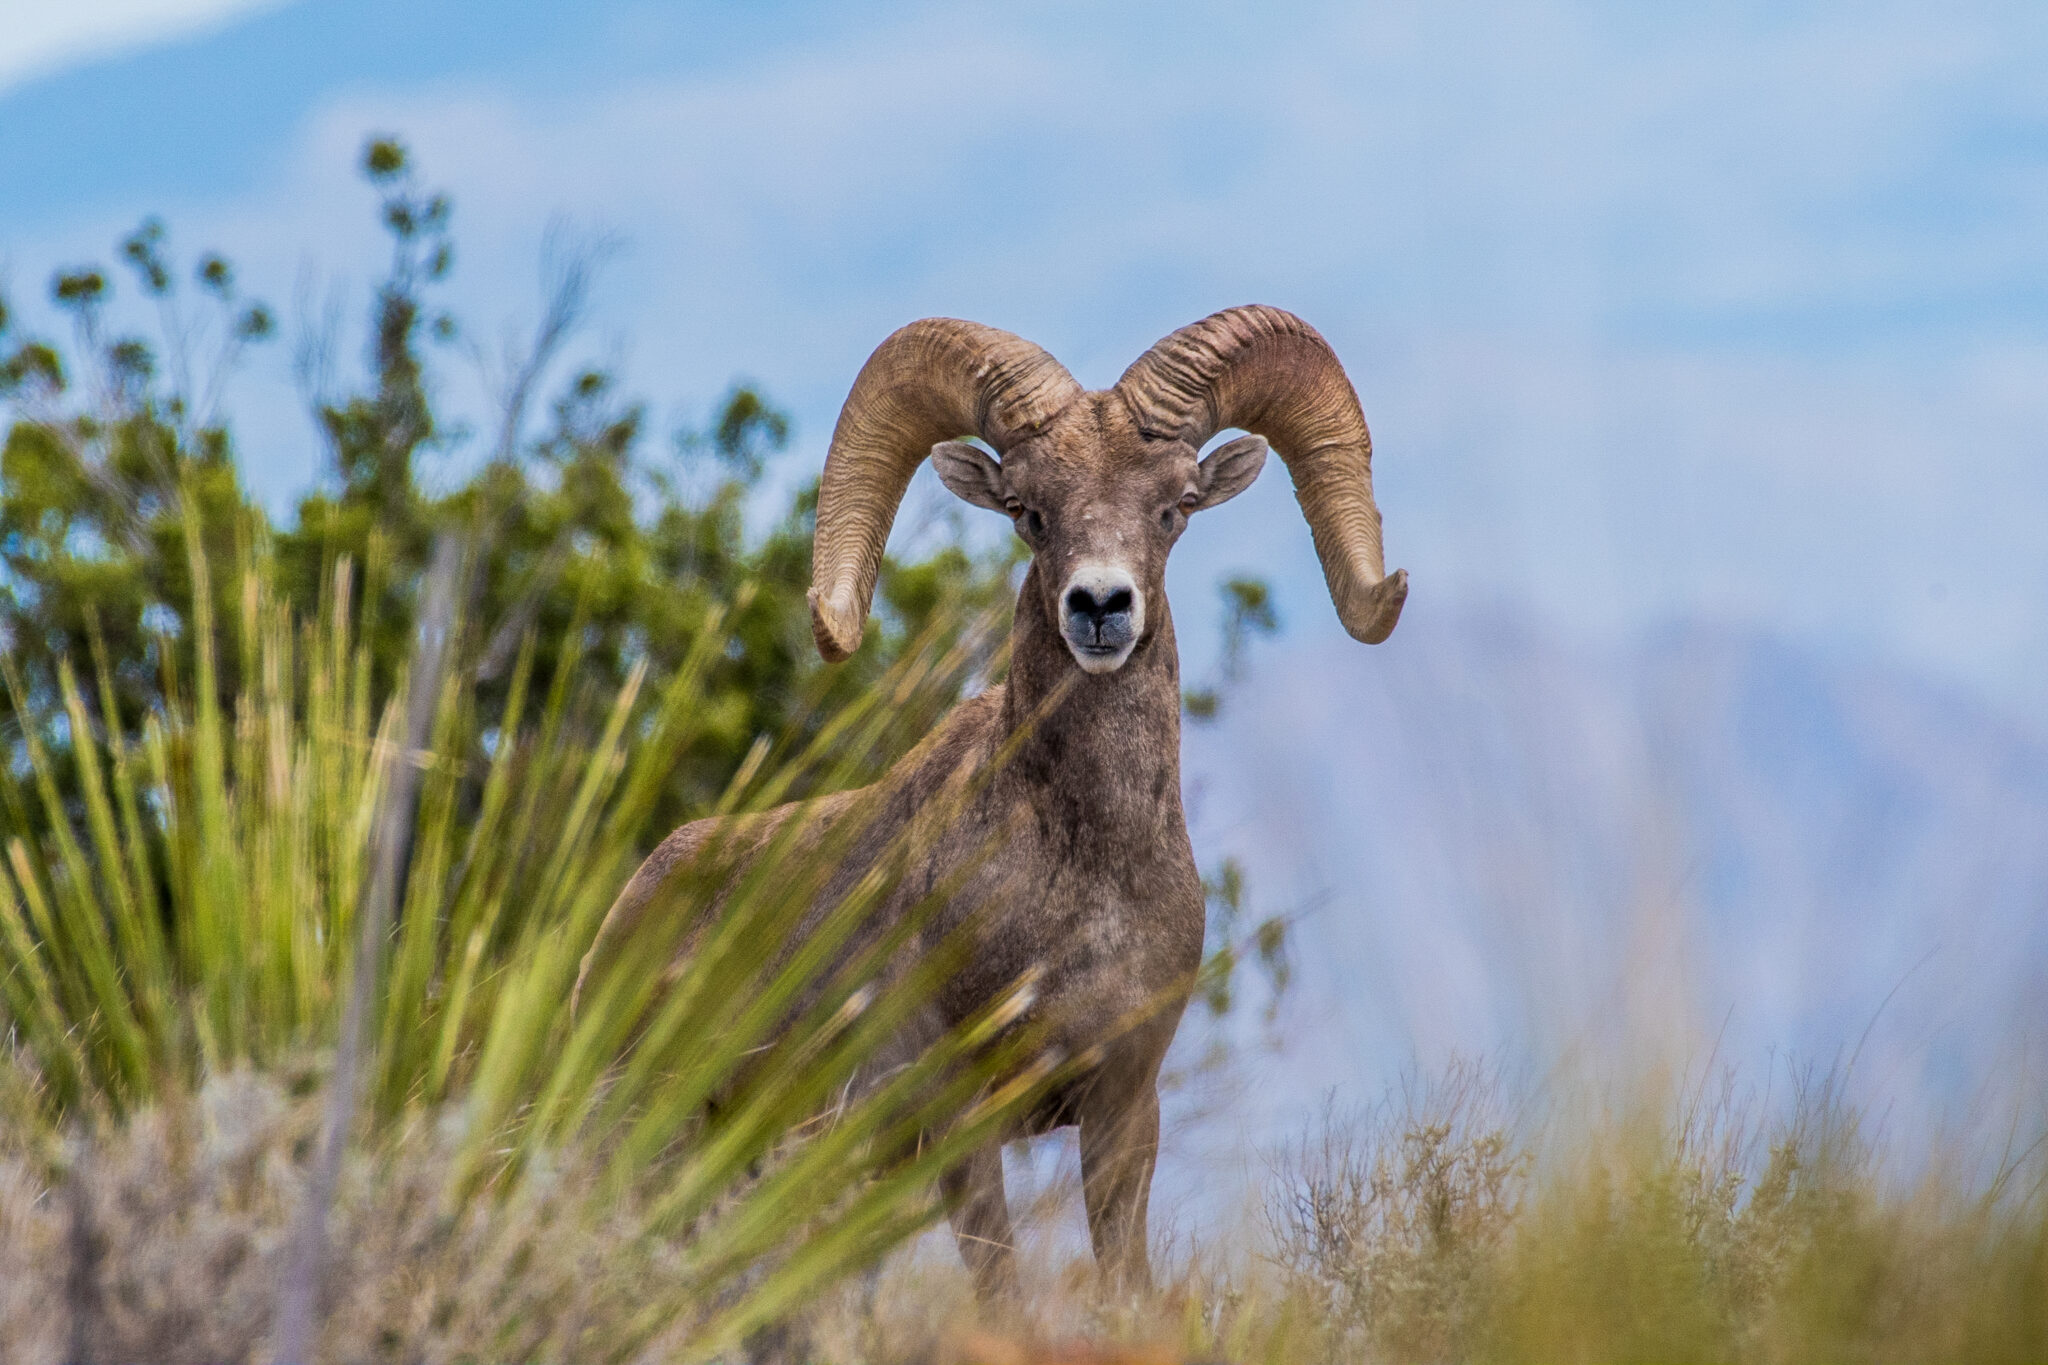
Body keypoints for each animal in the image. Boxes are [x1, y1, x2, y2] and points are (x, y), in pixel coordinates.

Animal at [576, 304, 1406, 1299]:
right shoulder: (957, 1120)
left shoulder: (1123, 1109)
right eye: (1028, 510)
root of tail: (627, 912)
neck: (1081, 891)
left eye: (1173, 507)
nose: (1099, 606)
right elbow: (1000, 1289)